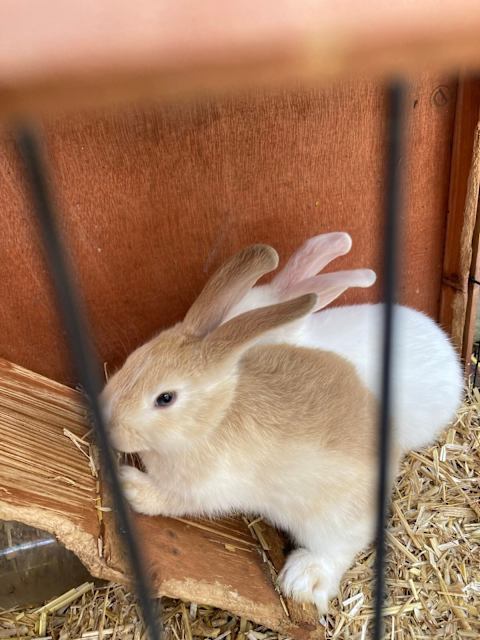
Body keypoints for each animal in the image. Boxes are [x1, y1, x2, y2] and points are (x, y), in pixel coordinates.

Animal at [101, 244, 391, 615]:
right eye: (132, 360)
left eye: (165, 398)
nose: (107, 421)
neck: (212, 419)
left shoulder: (201, 490)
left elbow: (168, 499)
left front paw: (129, 485)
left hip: (330, 520)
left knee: (338, 549)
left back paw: (302, 579)